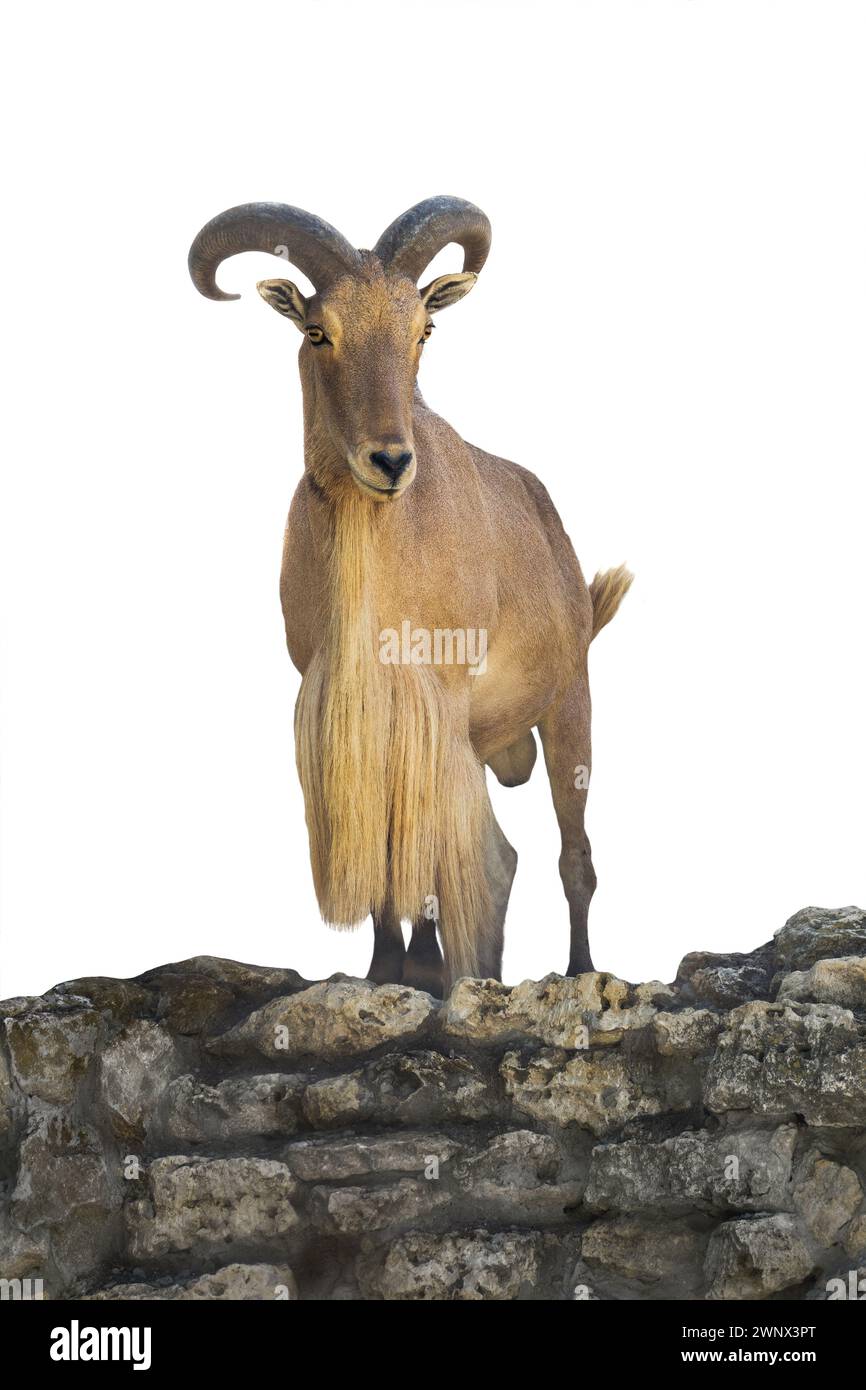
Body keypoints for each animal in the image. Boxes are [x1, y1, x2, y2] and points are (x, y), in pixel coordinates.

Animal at [189, 196, 632, 995]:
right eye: (317, 331)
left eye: (421, 329)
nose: (391, 460)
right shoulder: (349, 710)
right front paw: (383, 967)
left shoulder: (434, 704)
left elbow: (428, 842)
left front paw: (423, 967)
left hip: (569, 704)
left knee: (572, 857)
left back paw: (580, 970)